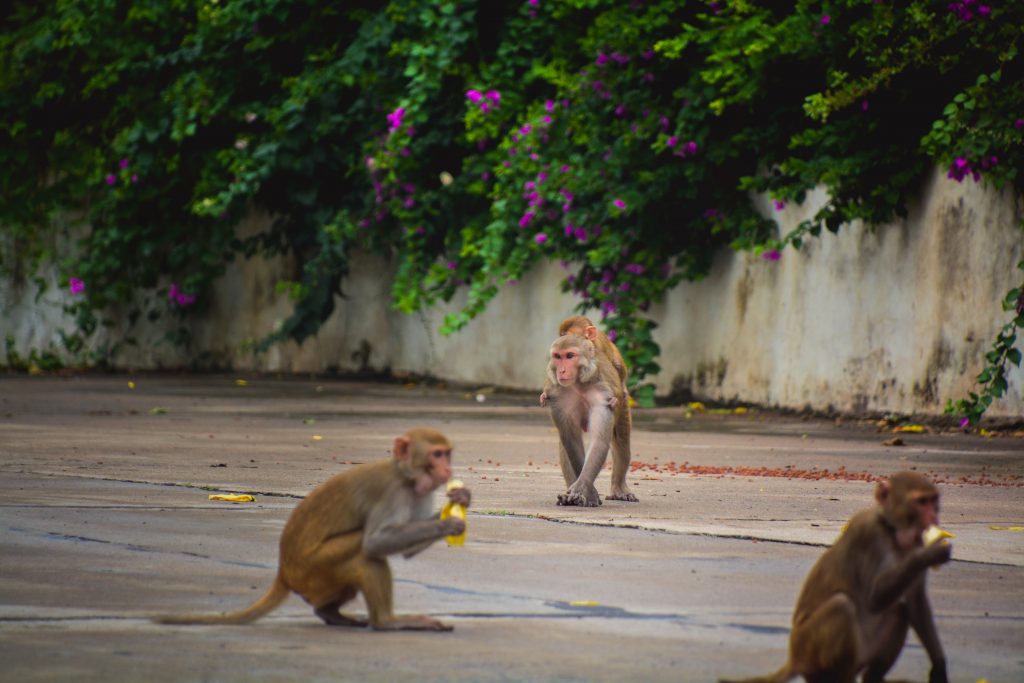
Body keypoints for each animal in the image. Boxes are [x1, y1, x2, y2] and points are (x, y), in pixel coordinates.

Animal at [155, 427, 470, 631]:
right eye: (437, 454)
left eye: (447, 454)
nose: (447, 470)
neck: (405, 475)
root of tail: (283, 572)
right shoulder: (390, 492)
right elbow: (376, 542)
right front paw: (450, 521)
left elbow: (405, 551)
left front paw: (461, 500)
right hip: (314, 568)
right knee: (362, 551)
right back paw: (387, 622)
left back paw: (331, 613)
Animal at [541, 333, 637, 506]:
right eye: (558, 356)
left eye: (569, 356)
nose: (562, 370)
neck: (579, 383)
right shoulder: (559, 398)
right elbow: (571, 440)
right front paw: (589, 493)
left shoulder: (602, 397)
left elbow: (599, 441)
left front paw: (581, 490)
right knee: (564, 443)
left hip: (623, 407)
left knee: (622, 440)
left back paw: (619, 489)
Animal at [721, 471, 951, 683]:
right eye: (921, 501)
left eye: (933, 500)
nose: (933, 517)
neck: (893, 532)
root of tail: (794, 657)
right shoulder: (867, 534)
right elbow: (874, 597)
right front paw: (929, 554)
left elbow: (914, 600)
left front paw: (939, 667)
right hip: (810, 646)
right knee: (842, 605)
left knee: (899, 610)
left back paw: (872, 678)